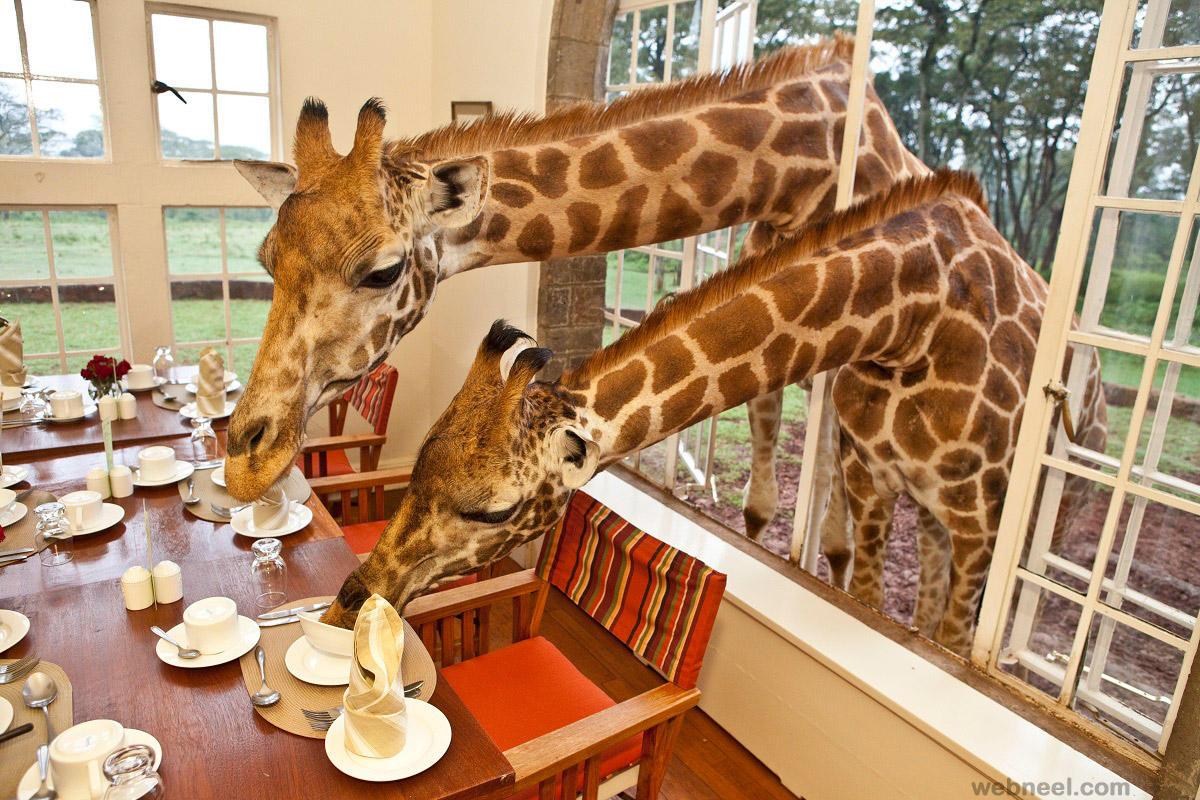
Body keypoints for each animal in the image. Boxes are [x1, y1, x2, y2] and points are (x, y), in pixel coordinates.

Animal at [321, 170, 1062, 656]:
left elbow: (949, 634)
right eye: (416, 466)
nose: (341, 606)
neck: (908, 310)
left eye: (496, 510)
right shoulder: (877, 488)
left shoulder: (980, 525)